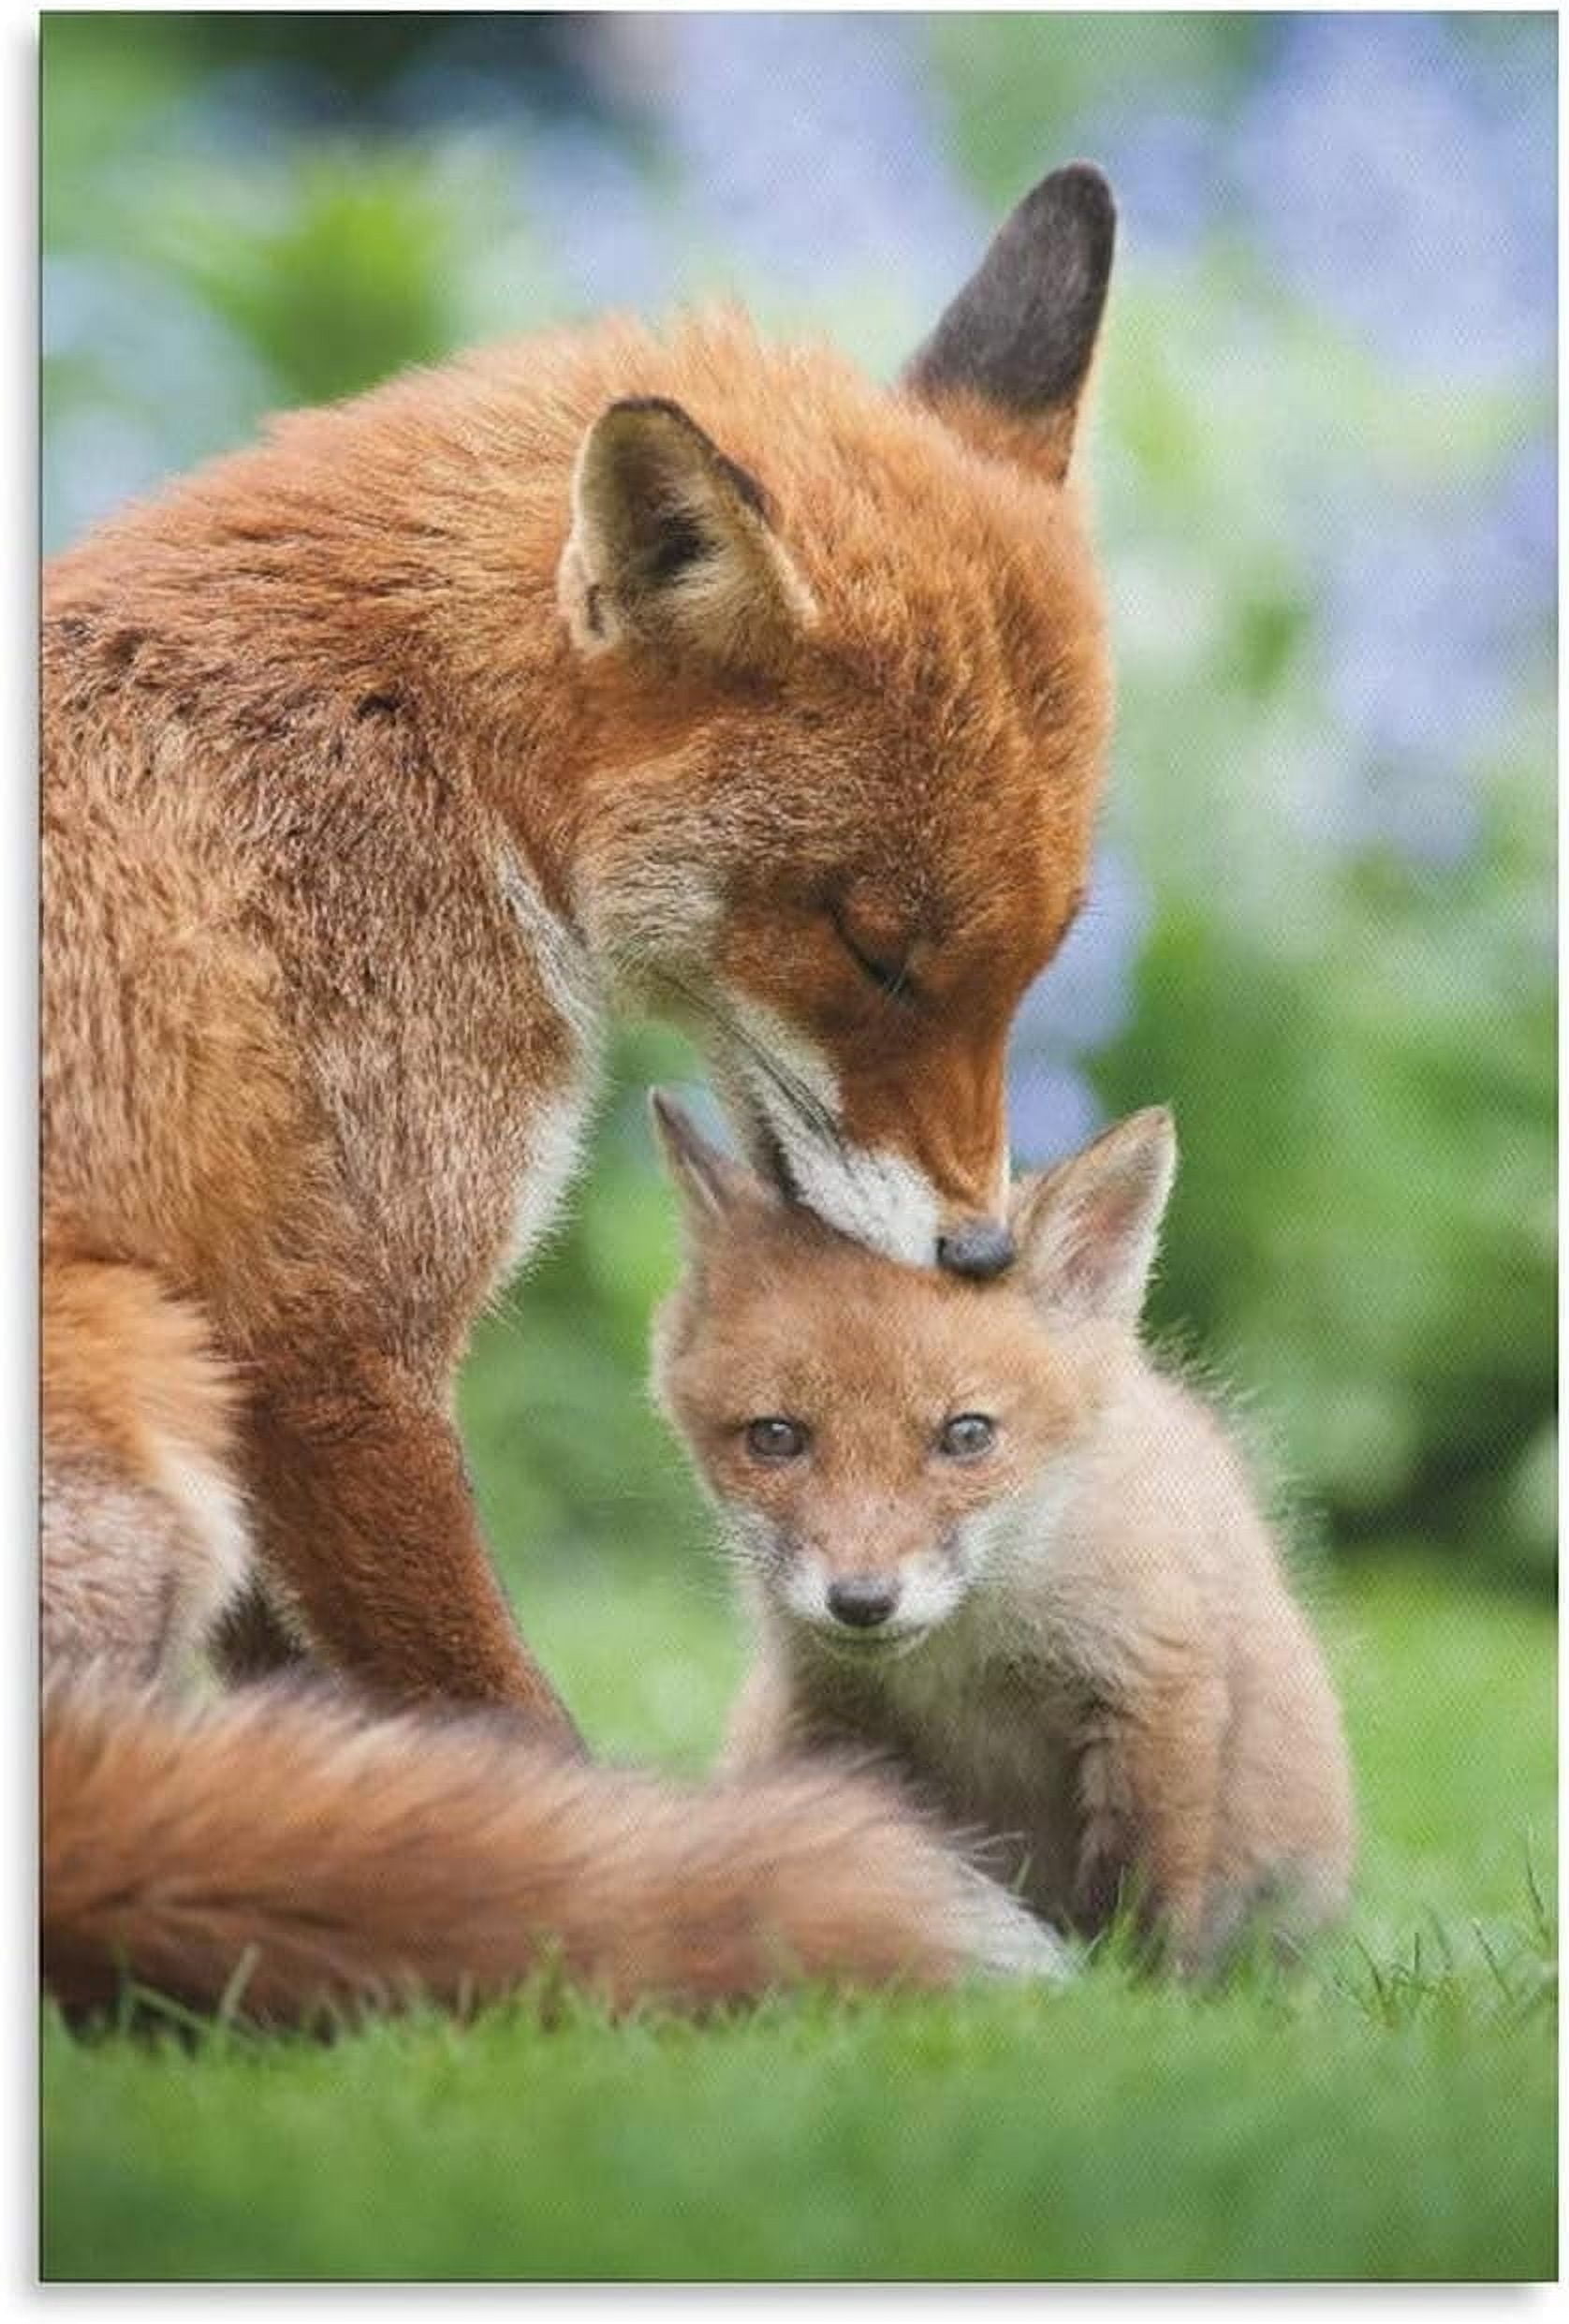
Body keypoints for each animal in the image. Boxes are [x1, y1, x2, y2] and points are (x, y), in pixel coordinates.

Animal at [41, 166, 1113, 2019]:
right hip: (132, 1363)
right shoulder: (334, 1350)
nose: (977, 1254)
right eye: (876, 949)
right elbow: (502, 1724)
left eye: (1044, 957)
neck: (428, 747)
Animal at [652, 1094, 1356, 1973]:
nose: (862, 1601)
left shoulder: (1152, 1683)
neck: (965, 1659)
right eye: (775, 1437)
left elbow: (1145, 1889)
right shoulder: (830, 1707)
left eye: (966, 1435)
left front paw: (1136, 1993)